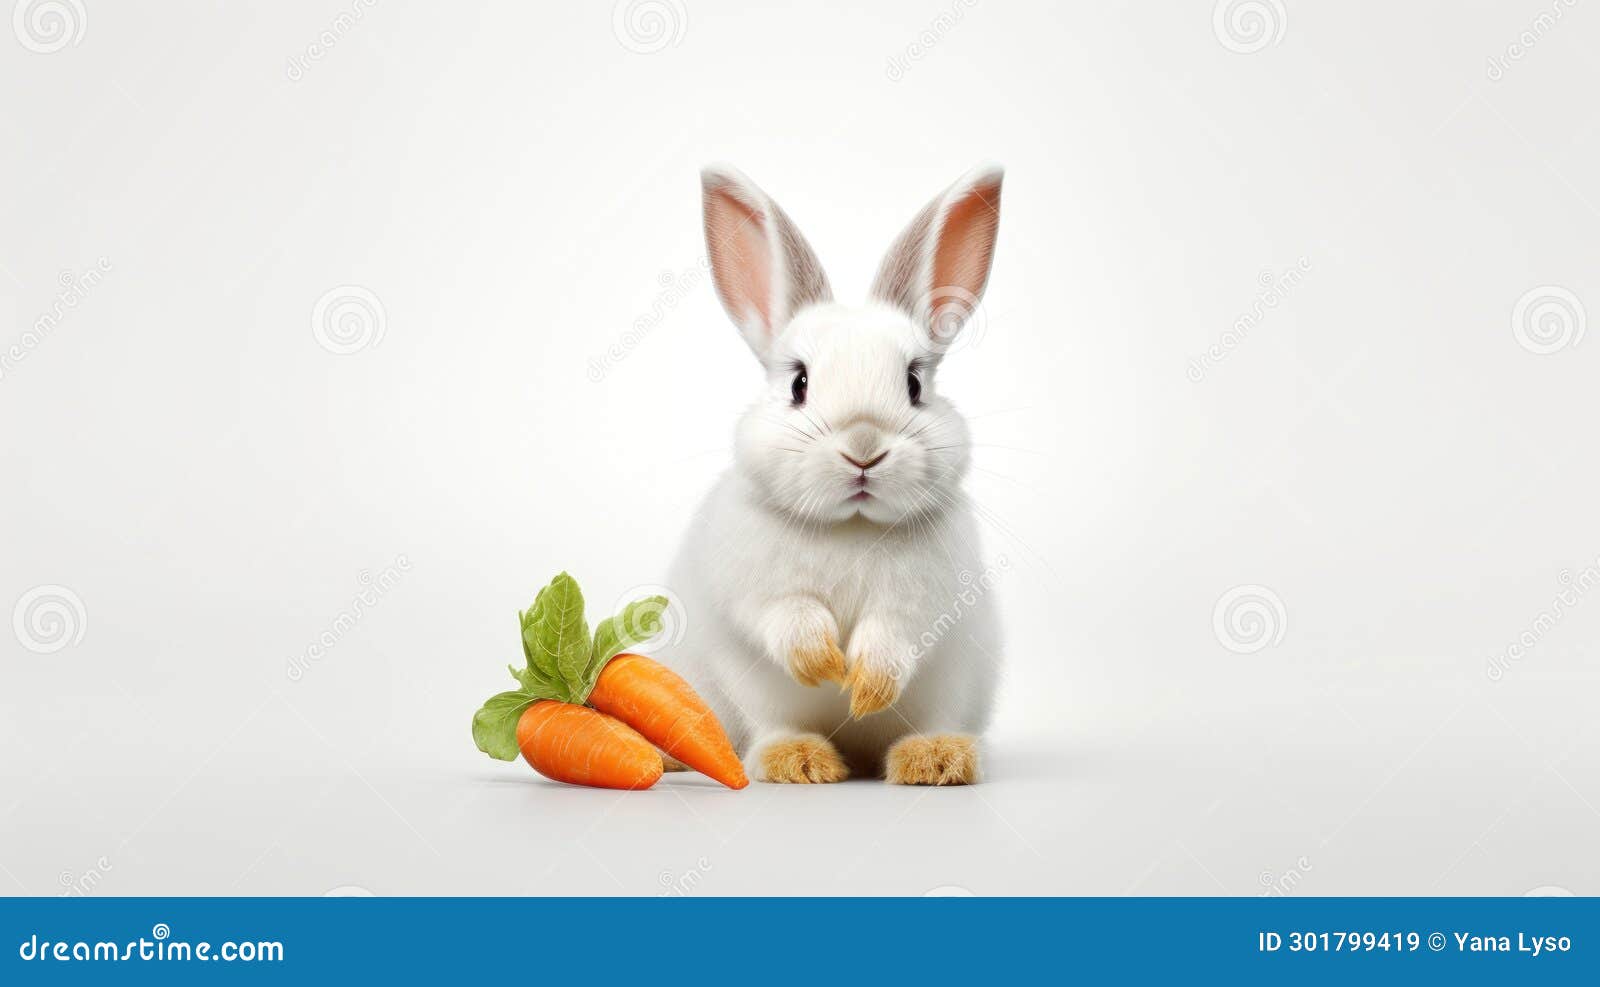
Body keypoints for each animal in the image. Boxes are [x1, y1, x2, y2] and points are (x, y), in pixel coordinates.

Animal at [660, 164, 1005, 785]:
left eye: (914, 383)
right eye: (799, 383)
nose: (863, 447)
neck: (852, 526)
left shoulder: (923, 602)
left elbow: (894, 636)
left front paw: (863, 688)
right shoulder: (755, 592)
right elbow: (787, 618)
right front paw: (825, 665)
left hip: (960, 681)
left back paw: (936, 758)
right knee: (768, 725)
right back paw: (798, 760)